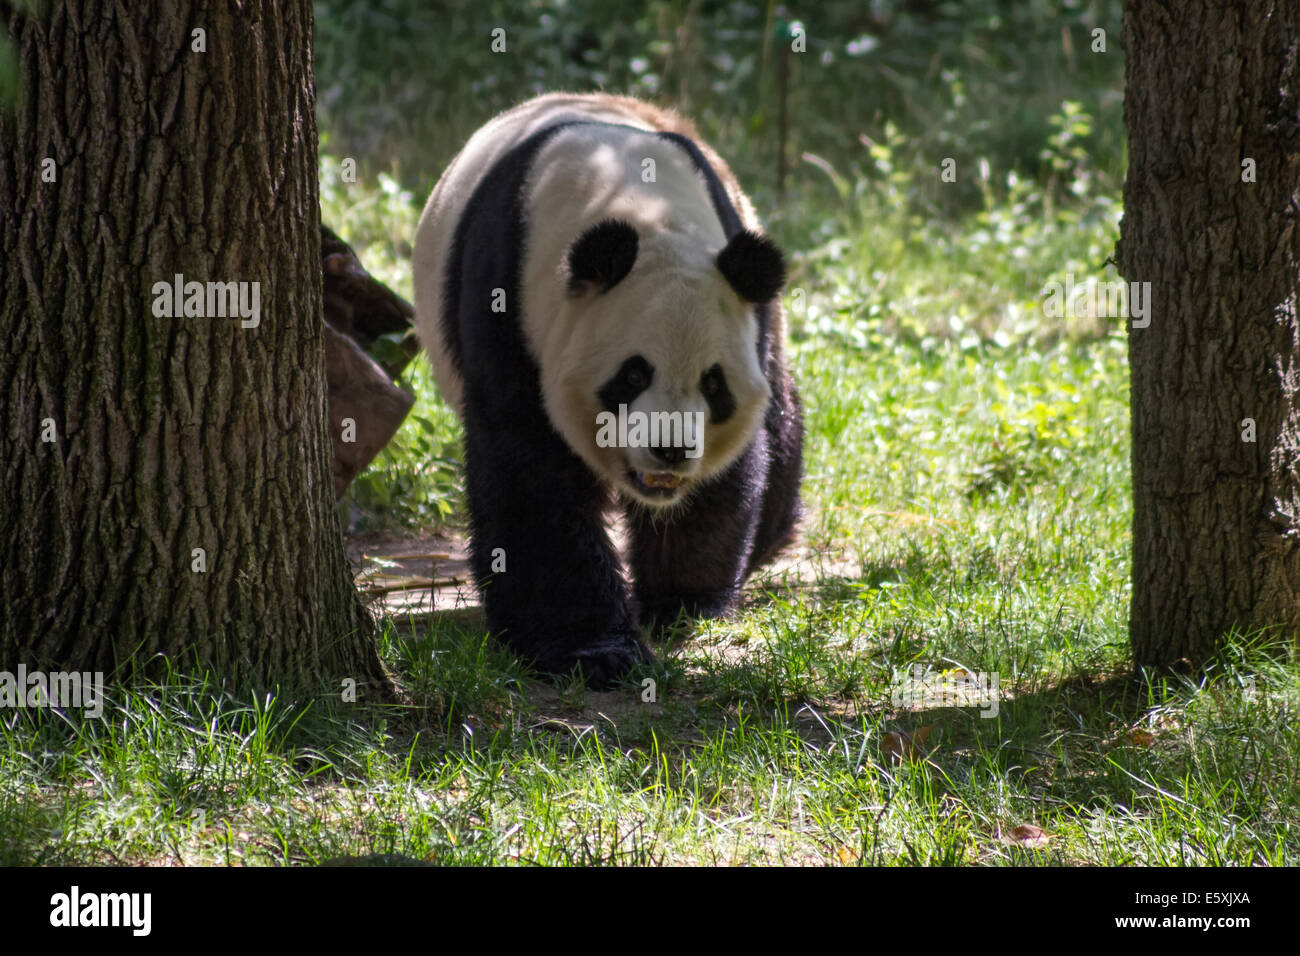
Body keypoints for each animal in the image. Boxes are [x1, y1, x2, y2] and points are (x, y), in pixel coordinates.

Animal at [411, 93, 803, 687]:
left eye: (713, 383)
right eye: (634, 375)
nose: (670, 450)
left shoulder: (743, 325)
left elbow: (728, 473)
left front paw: (680, 600)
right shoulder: (508, 305)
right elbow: (529, 475)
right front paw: (593, 649)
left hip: (769, 315)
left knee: (781, 415)